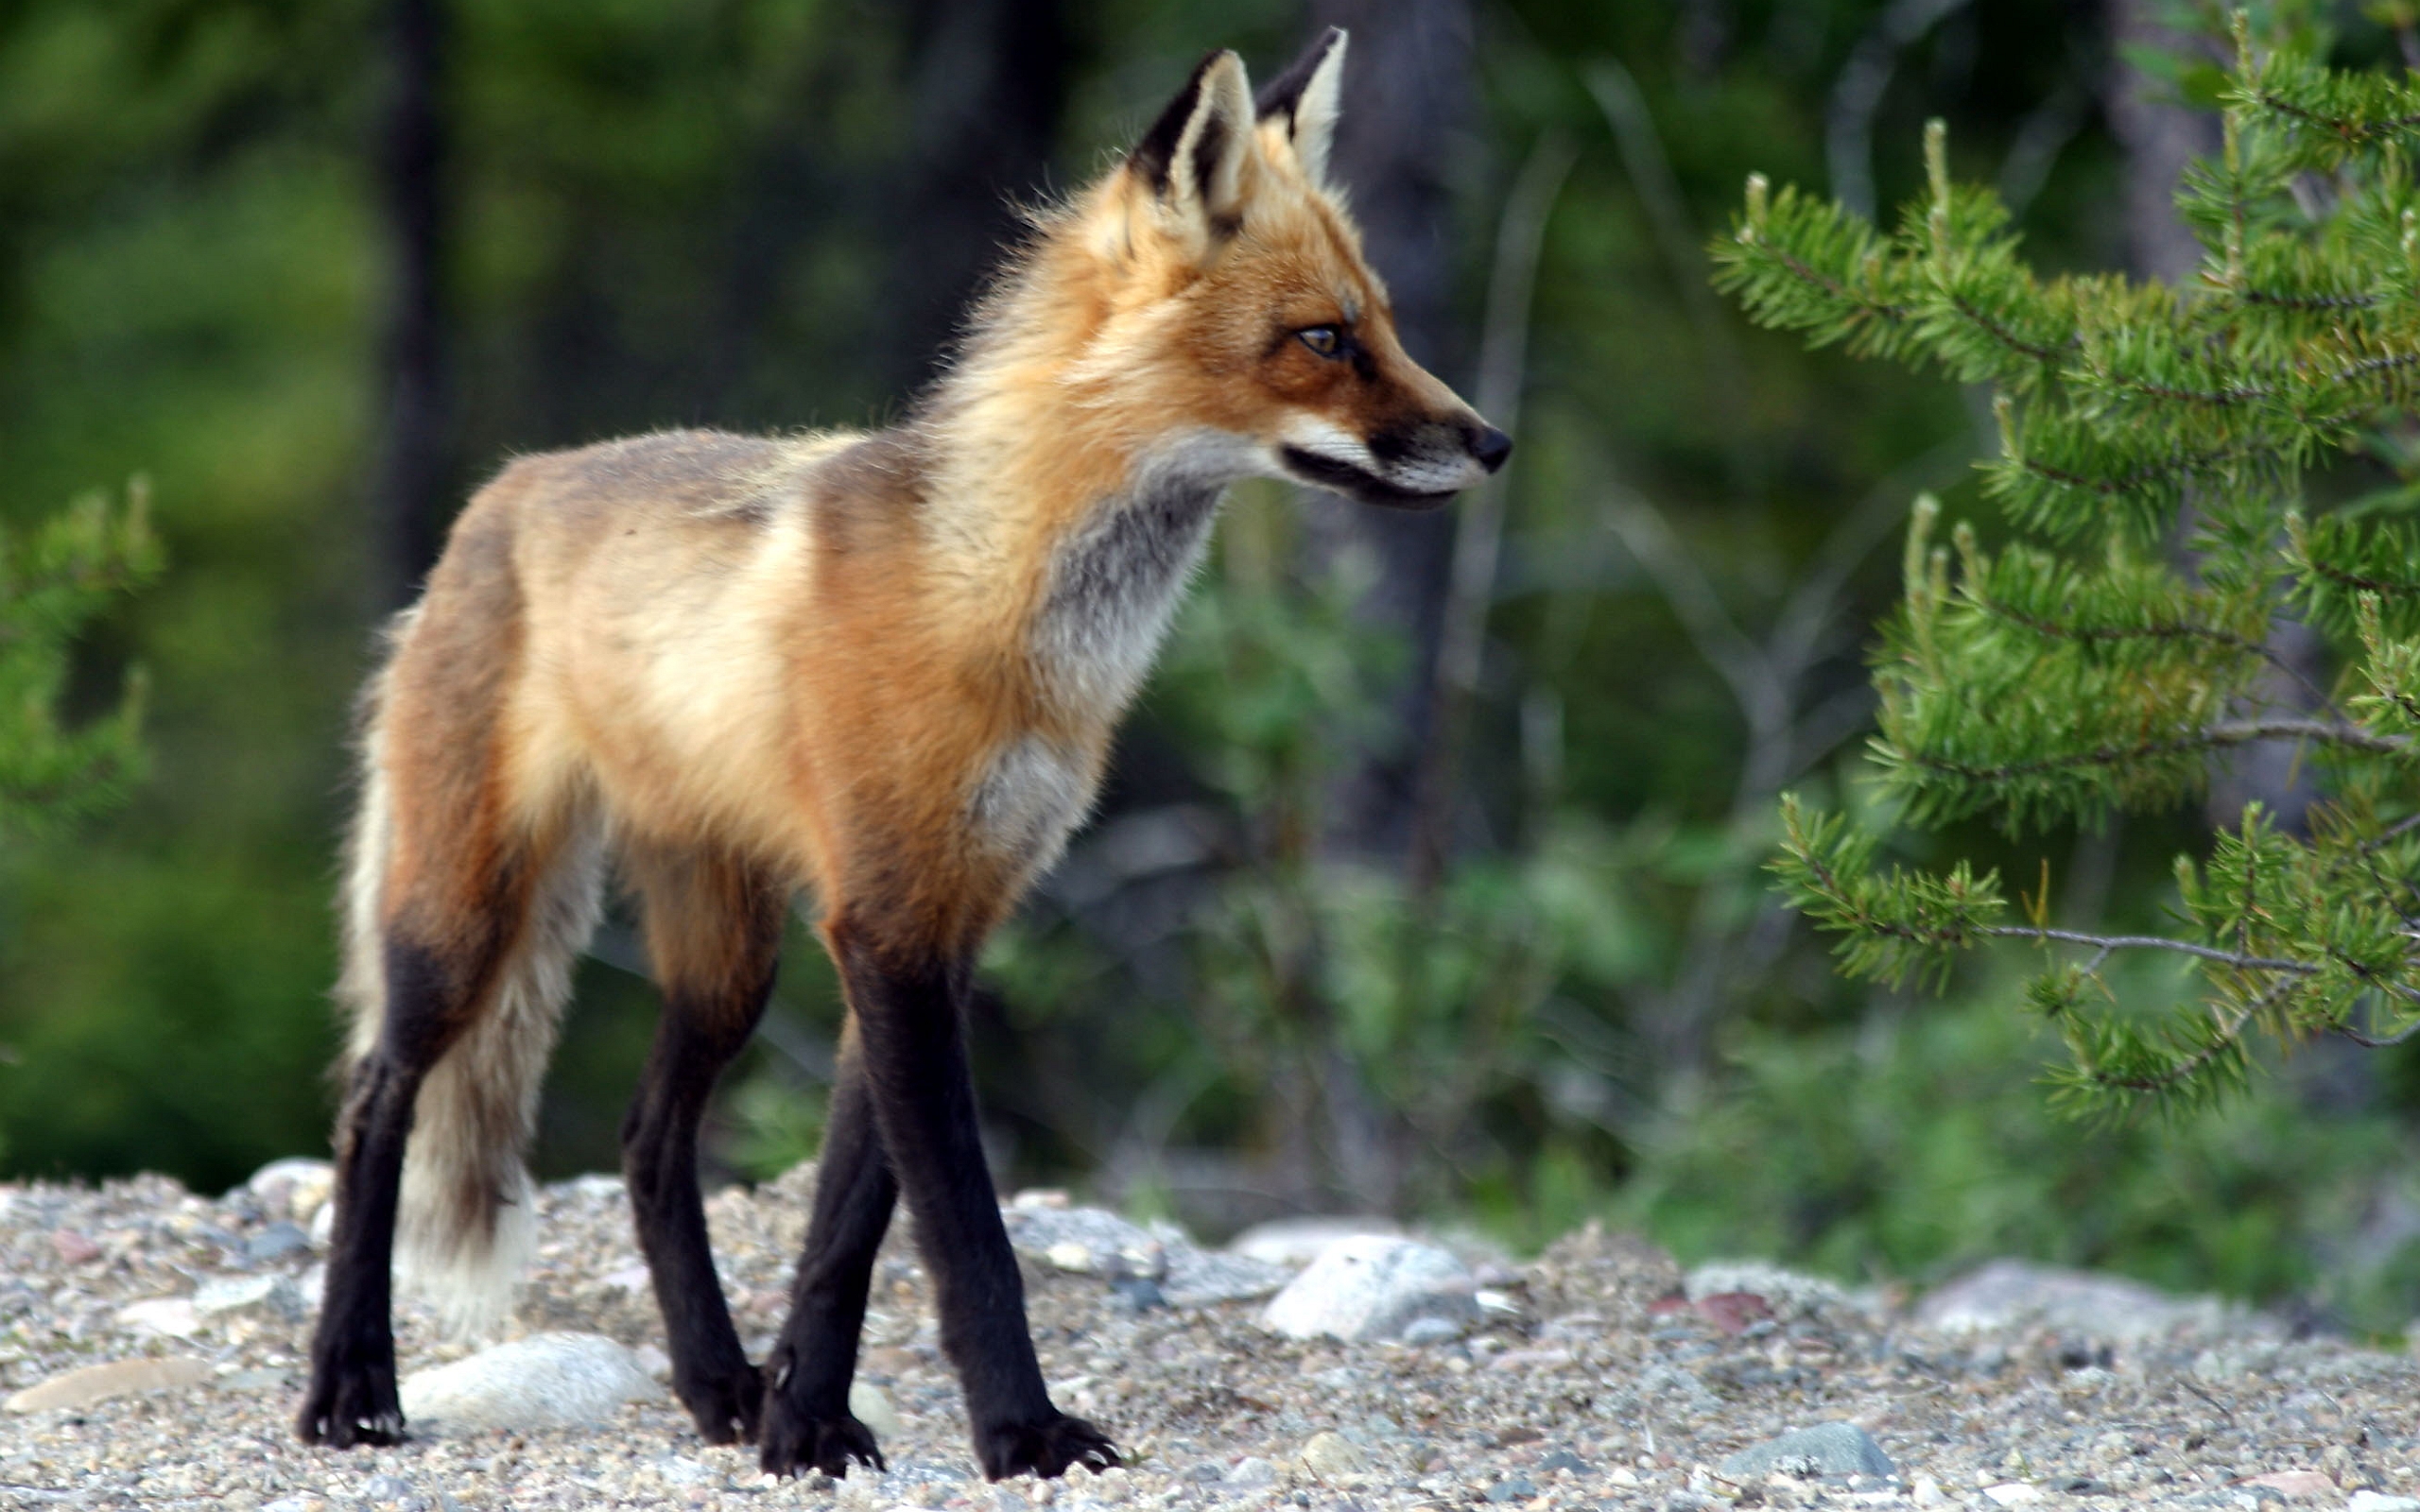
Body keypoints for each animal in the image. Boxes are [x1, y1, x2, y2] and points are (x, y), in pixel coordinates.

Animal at [297, 27, 1508, 1481]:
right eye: (1323, 340)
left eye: (1383, 324)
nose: (1494, 442)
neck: (1007, 616)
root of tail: (494, 495)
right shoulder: (885, 921)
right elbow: (966, 1231)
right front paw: (1023, 1433)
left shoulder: (948, 911)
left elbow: (849, 1226)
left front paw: (803, 1420)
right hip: (464, 915)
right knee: (373, 1101)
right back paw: (349, 1382)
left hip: (727, 960)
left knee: (649, 1143)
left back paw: (716, 1388)